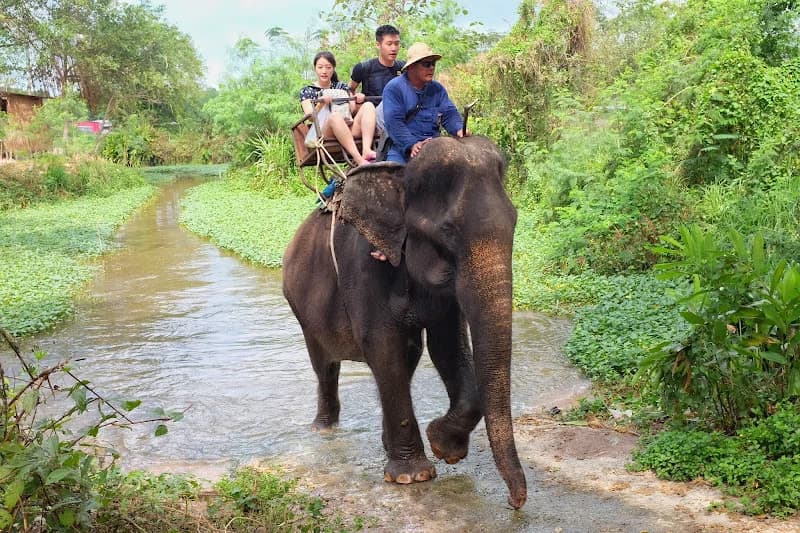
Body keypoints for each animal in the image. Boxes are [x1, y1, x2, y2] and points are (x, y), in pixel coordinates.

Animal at [282, 135, 526, 509]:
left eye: (514, 221)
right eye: (448, 231)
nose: (515, 503)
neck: (398, 176)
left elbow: (447, 347)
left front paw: (443, 446)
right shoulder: (364, 265)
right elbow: (382, 346)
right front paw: (413, 476)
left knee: (405, 361)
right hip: (301, 307)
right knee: (326, 366)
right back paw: (323, 430)